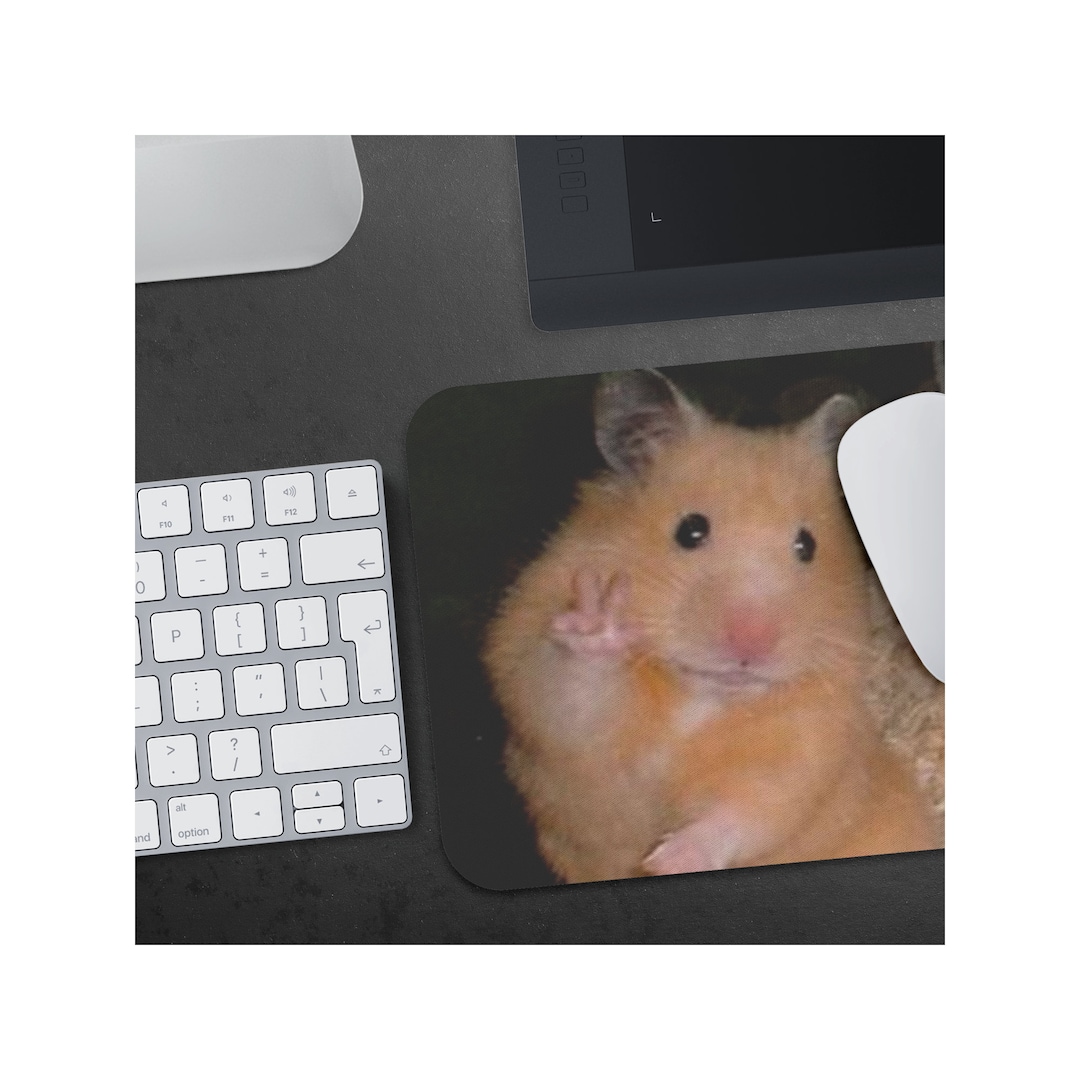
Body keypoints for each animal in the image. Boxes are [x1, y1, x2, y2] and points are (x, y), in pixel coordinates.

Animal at [482, 368, 937, 884]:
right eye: (690, 530)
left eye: (807, 546)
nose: (751, 646)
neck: (702, 697)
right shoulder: (547, 710)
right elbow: (574, 695)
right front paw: (601, 614)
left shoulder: (806, 750)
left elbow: (749, 809)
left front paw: (665, 862)